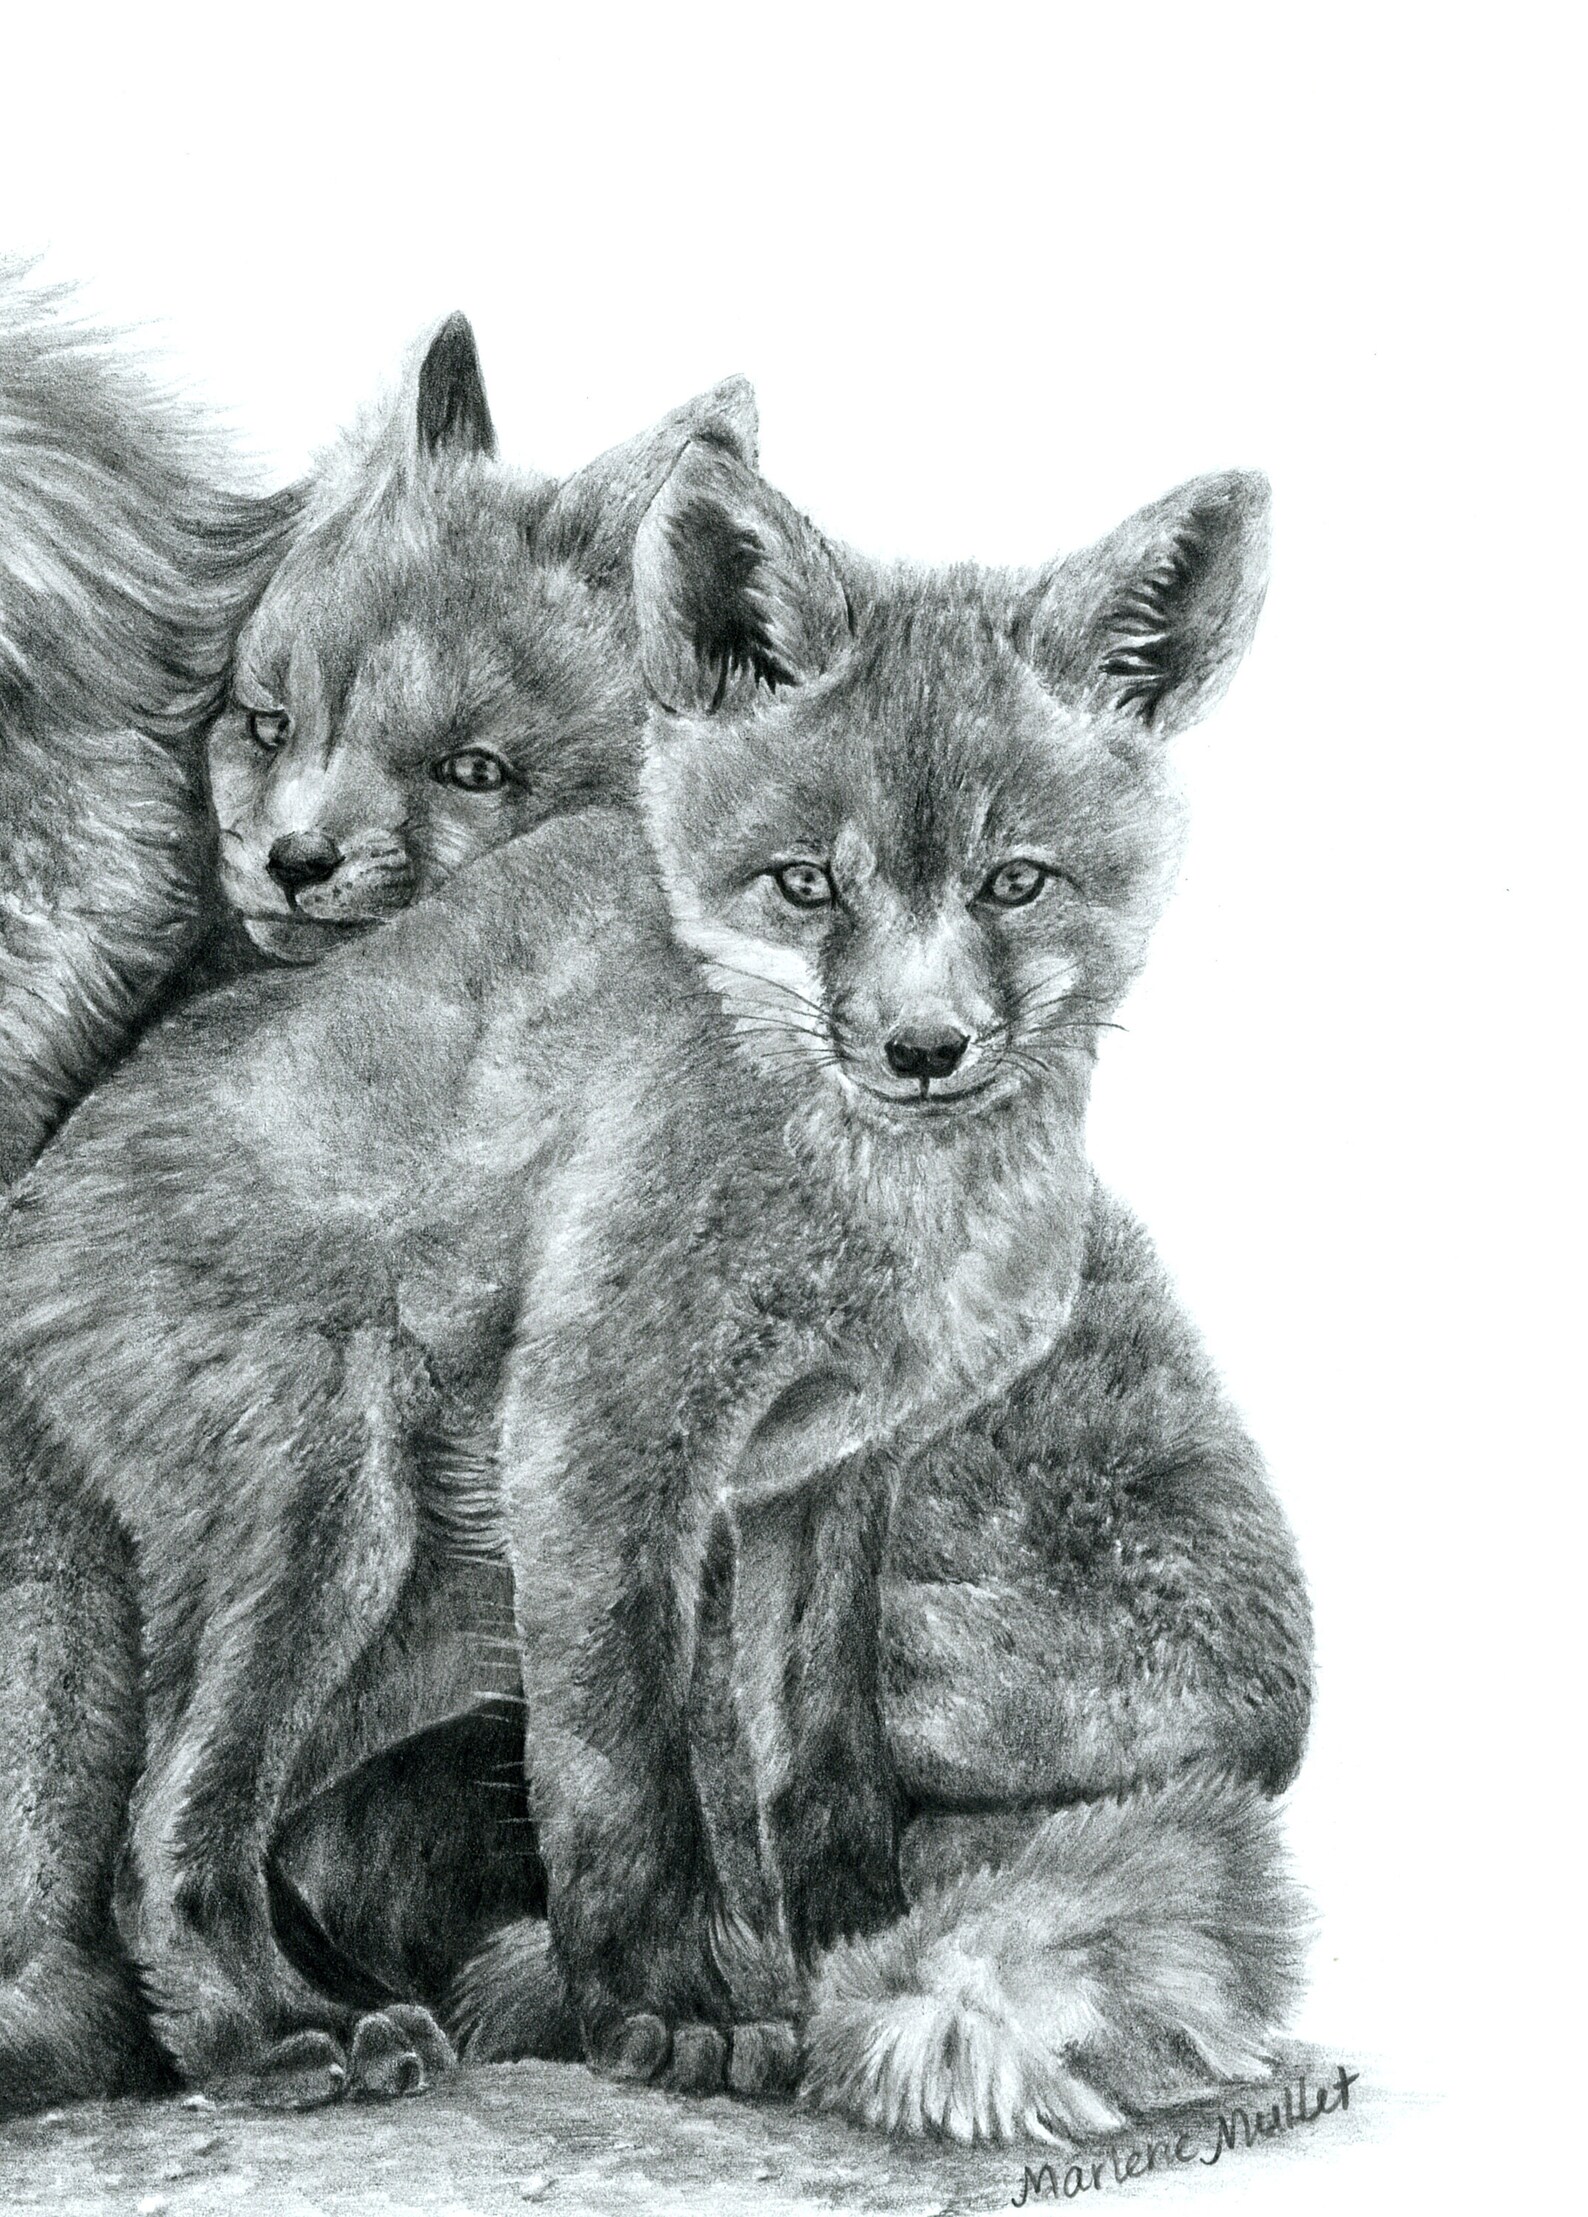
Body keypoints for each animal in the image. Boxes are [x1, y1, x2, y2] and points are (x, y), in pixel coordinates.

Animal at [0, 434, 1308, 2140]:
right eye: (805, 884)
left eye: (1017, 882)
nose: (923, 1049)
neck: (880, 1213)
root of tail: (38, 1191)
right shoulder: (599, 1436)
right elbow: (625, 1781)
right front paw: (672, 2007)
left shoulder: (822, 1479)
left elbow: (815, 1767)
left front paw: (857, 1947)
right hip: (342, 1512)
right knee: (161, 1824)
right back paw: (269, 2032)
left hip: (410, 1603)